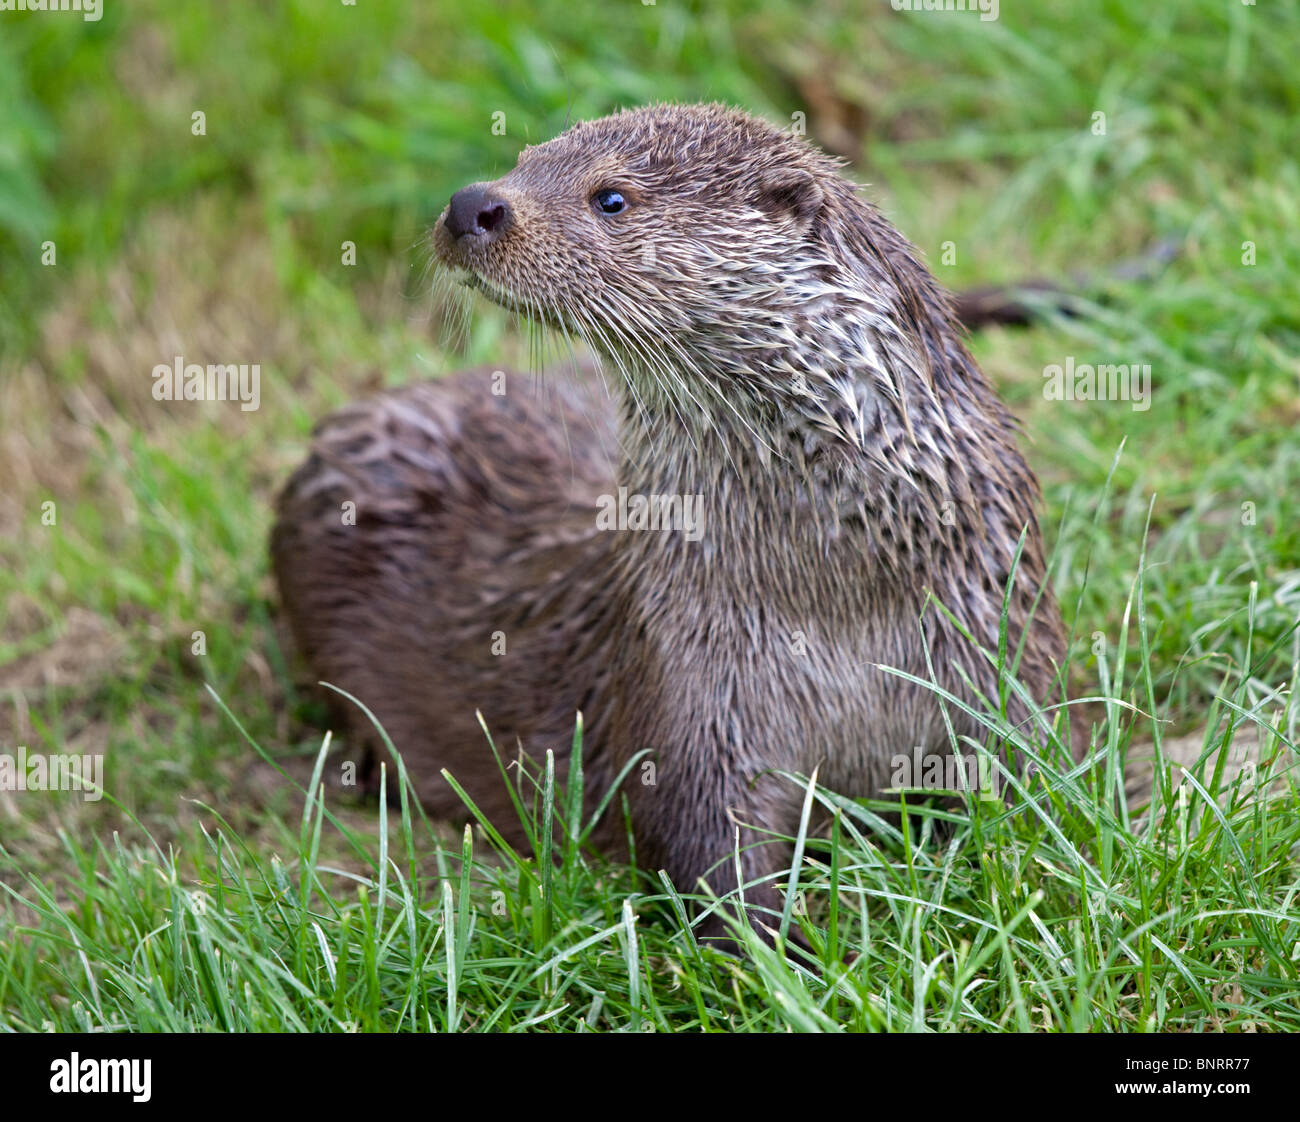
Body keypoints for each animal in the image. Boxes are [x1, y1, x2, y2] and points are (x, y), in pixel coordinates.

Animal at [272, 103, 1068, 943]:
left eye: (611, 198)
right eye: (523, 157)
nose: (470, 203)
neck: (838, 602)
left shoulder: (1003, 652)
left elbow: (1032, 801)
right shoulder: (688, 697)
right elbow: (711, 861)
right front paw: (787, 952)